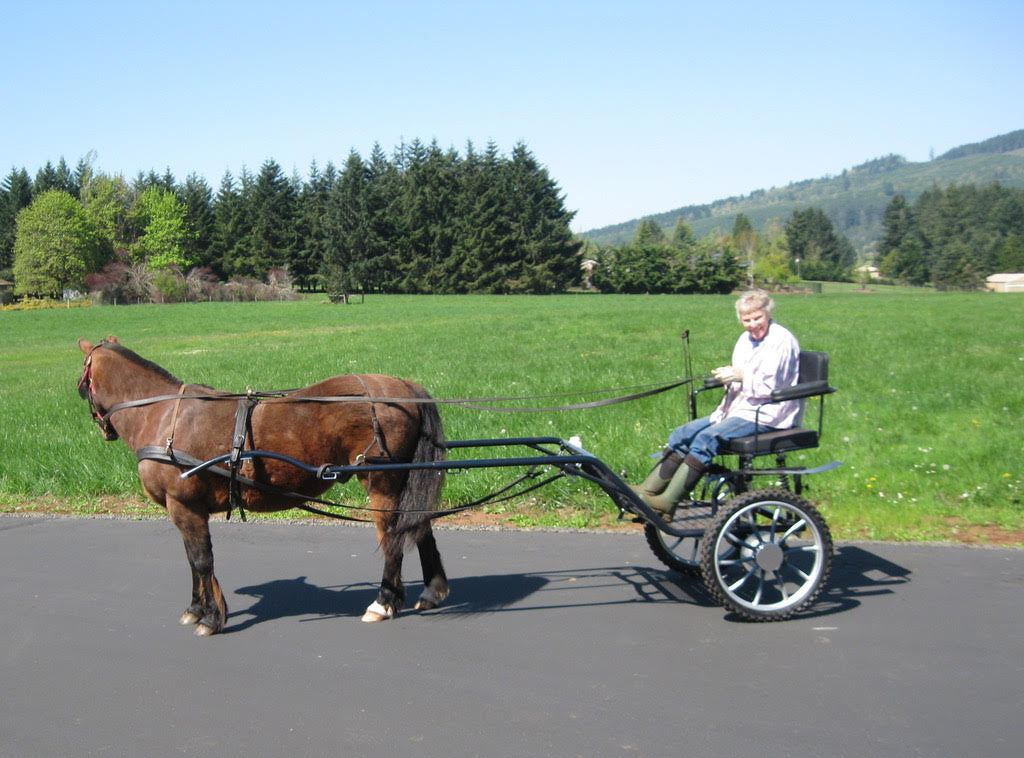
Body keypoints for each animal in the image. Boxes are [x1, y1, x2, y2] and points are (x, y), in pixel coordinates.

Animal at [77, 336, 449, 636]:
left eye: (82, 382)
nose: (104, 430)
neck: (165, 414)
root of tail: (406, 387)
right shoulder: (182, 510)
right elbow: (192, 560)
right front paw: (195, 609)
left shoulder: (185, 505)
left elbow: (201, 560)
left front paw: (210, 618)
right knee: (419, 528)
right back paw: (431, 591)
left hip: (382, 482)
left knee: (393, 540)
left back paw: (383, 603)